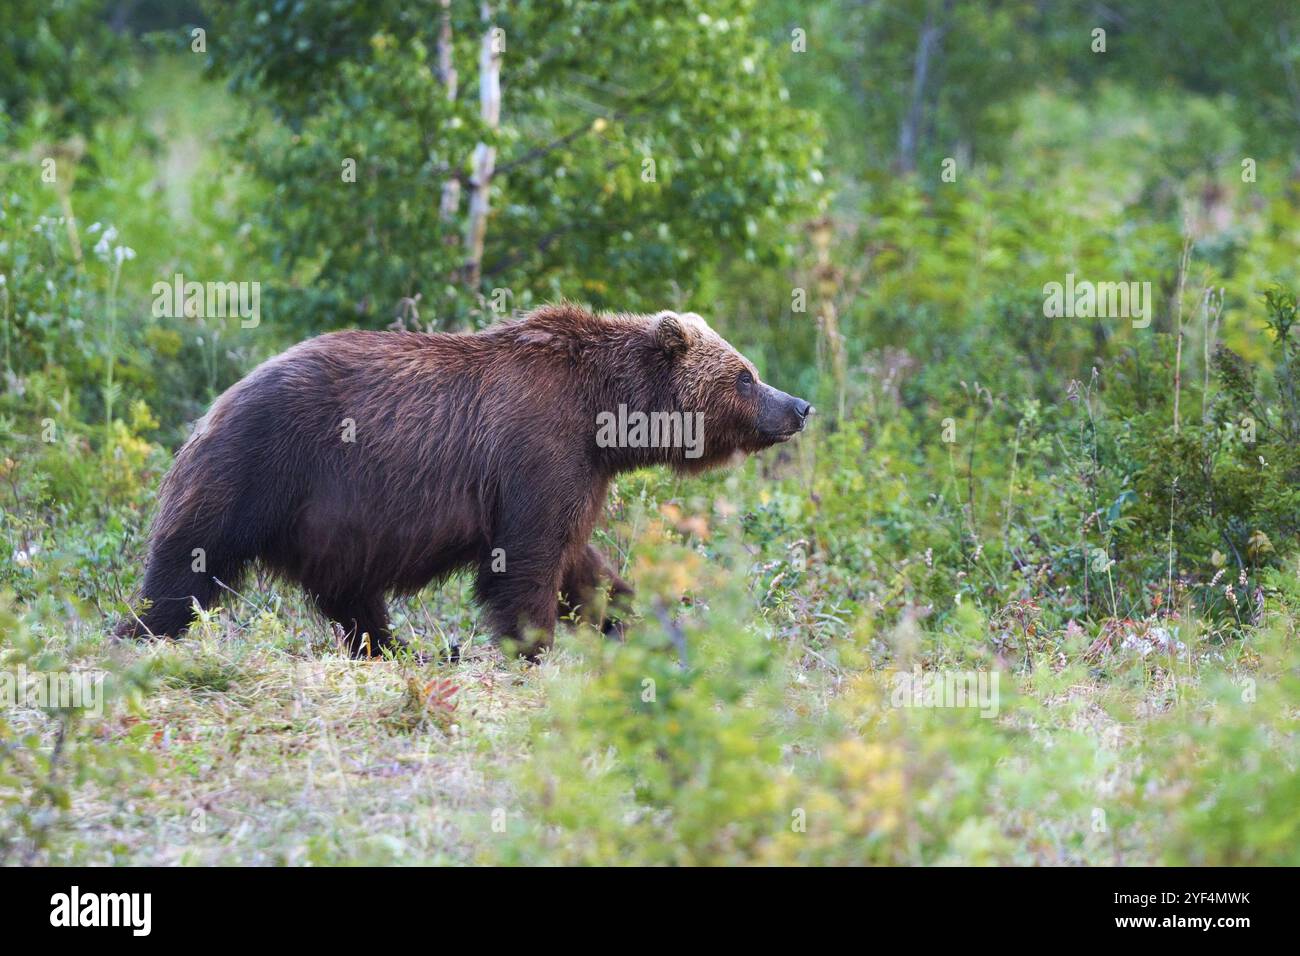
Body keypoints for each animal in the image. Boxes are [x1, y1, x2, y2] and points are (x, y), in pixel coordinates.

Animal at [117, 304, 812, 658]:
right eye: (745, 375)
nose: (799, 405)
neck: (602, 413)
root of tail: (215, 404)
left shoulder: (579, 473)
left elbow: (580, 563)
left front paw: (642, 622)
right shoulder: (537, 449)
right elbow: (528, 558)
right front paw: (533, 645)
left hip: (327, 520)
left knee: (351, 593)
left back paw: (393, 647)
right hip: (263, 466)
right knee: (191, 561)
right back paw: (140, 632)